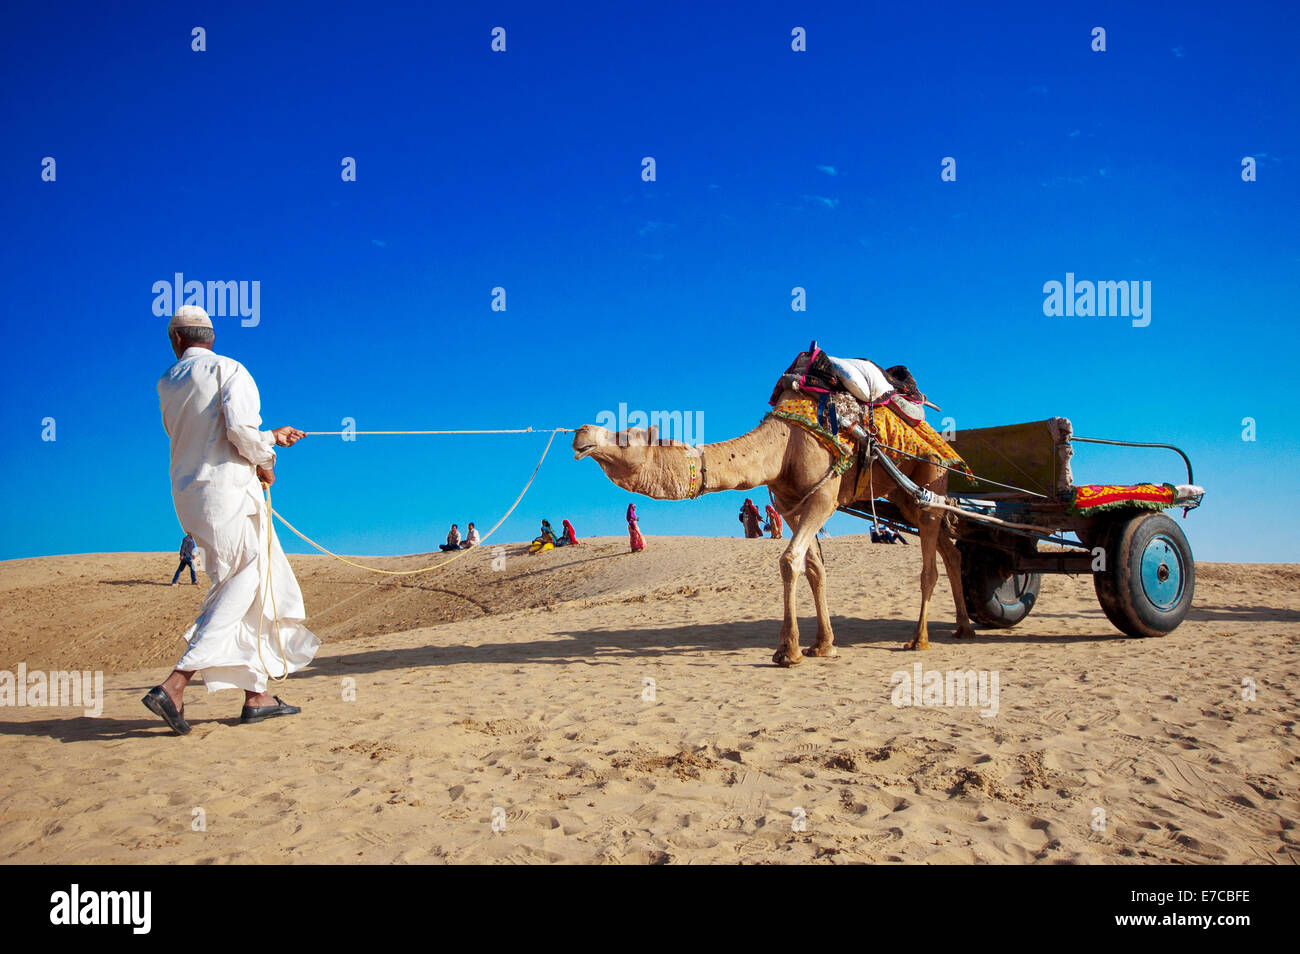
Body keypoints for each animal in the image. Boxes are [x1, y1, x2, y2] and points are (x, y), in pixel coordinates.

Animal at [573, 391, 974, 666]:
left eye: (628, 433)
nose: (582, 431)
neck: (784, 445)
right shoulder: (791, 507)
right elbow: (814, 568)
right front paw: (823, 645)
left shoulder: (823, 497)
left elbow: (789, 561)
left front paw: (787, 650)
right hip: (905, 496)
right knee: (949, 549)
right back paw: (964, 627)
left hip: (931, 475)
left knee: (929, 565)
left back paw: (919, 638)